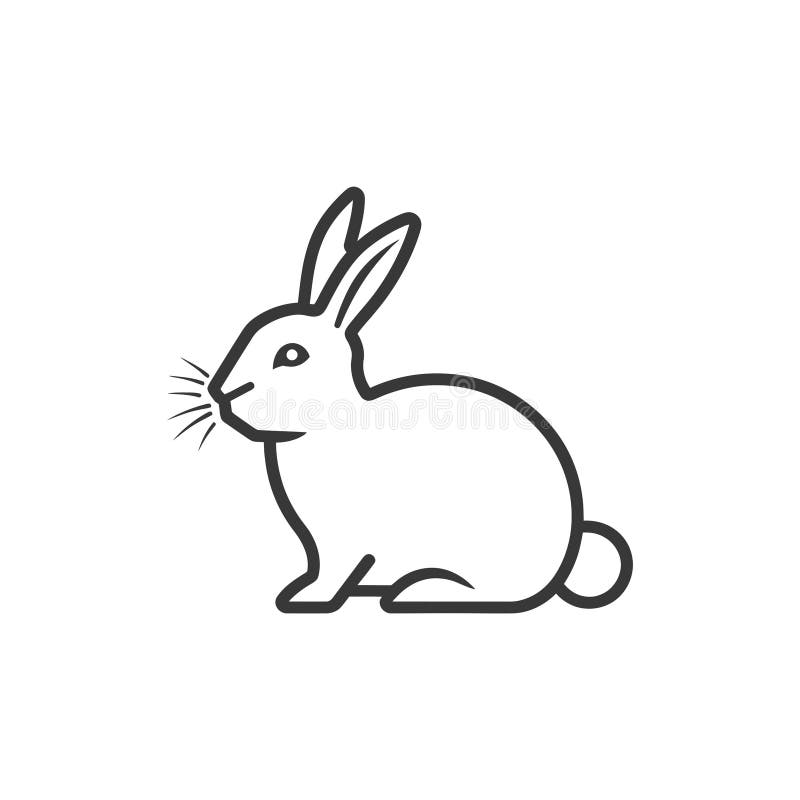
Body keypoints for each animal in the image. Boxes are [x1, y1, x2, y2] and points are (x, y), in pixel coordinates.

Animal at [206, 188, 632, 613]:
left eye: (292, 355)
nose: (224, 394)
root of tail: (567, 555)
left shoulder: (344, 543)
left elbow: (336, 571)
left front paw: (308, 598)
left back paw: (416, 591)